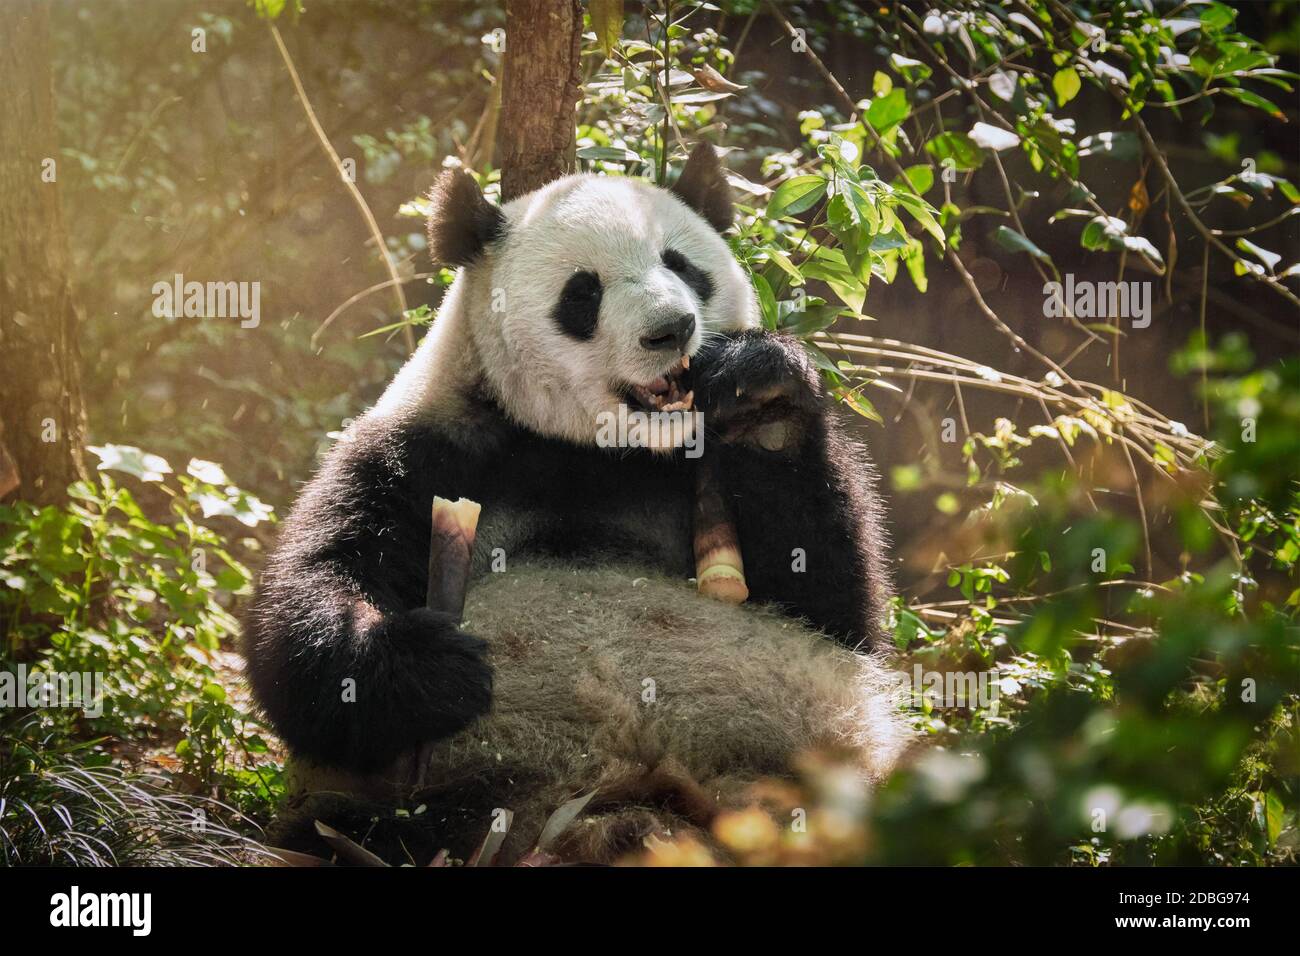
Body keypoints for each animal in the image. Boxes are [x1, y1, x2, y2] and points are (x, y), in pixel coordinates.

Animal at [244, 144, 908, 865]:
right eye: (583, 292)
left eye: (682, 266)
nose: (671, 330)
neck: (596, 452)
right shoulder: (424, 452)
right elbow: (309, 610)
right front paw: (430, 667)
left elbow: (835, 607)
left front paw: (761, 395)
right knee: (358, 829)